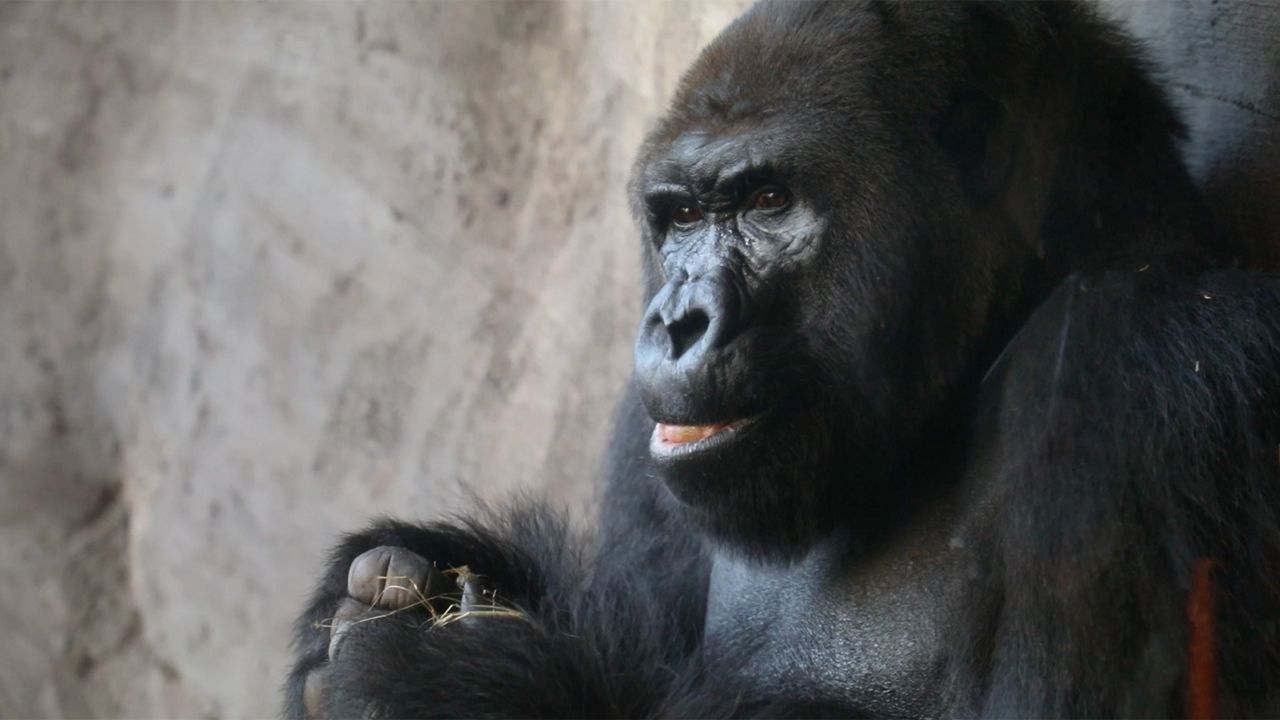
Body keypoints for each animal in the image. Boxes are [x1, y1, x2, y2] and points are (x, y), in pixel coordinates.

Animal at [285, 2, 1280, 712]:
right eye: (682, 215)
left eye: (768, 201)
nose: (675, 321)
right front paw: (425, 576)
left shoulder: (1130, 380)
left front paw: (467, 677)